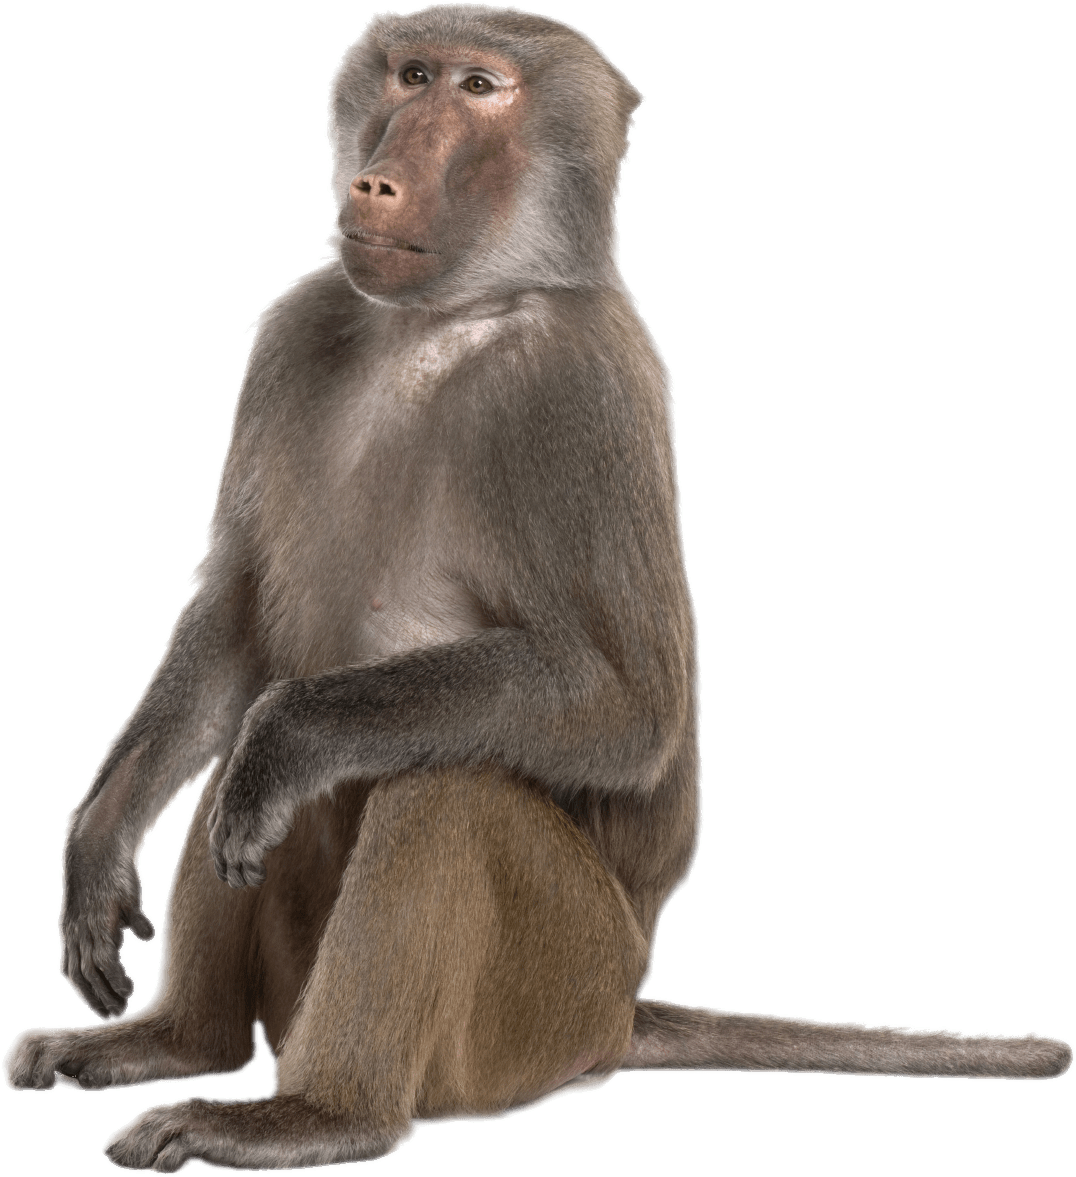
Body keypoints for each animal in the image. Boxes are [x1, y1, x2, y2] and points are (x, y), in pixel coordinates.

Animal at [5, 4, 1072, 1172]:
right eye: (411, 74)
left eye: (480, 87)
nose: (376, 182)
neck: (445, 315)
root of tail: (619, 1005)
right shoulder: (294, 329)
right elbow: (237, 612)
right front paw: (98, 844)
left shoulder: (573, 391)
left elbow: (627, 705)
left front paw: (291, 737)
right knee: (251, 753)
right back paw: (174, 1041)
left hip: (542, 1001)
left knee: (443, 789)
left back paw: (318, 1114)